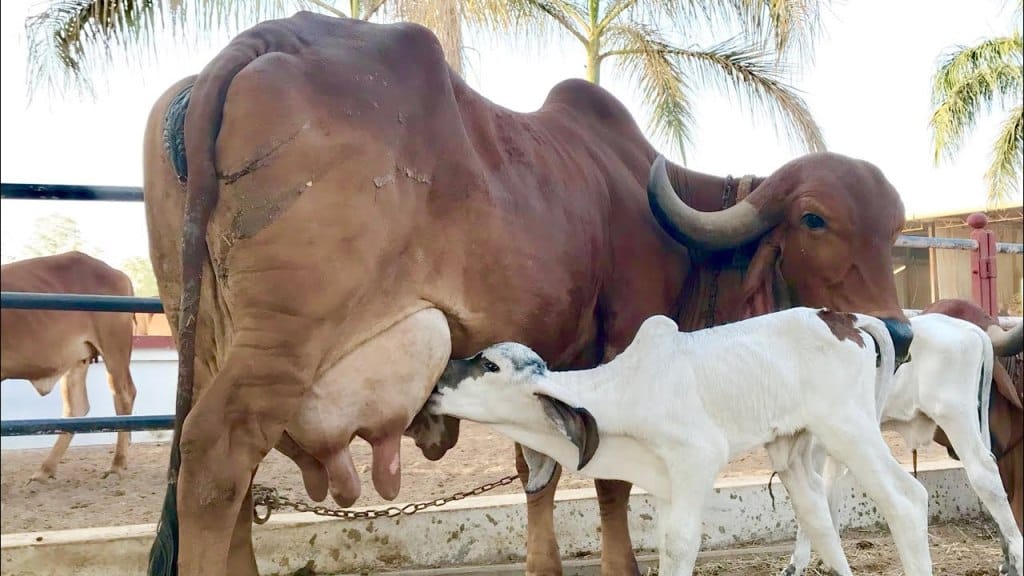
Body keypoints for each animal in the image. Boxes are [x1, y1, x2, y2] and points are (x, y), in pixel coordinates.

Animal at [0, 251, 138, 482]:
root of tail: (119, 274)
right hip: (77, 360)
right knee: (76, 407)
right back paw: (45, 469)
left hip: (114, 348)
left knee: (124, 395)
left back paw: (117, 464)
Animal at [141, 12, 913, 576]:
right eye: (815, 219)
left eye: (895, 228)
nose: (900, 335)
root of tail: (258, 41)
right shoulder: (618, 348)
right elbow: (608, 480)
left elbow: (536, 469)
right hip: (284, 344)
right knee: (214, 457)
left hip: (206, 337)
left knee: (221, 474)